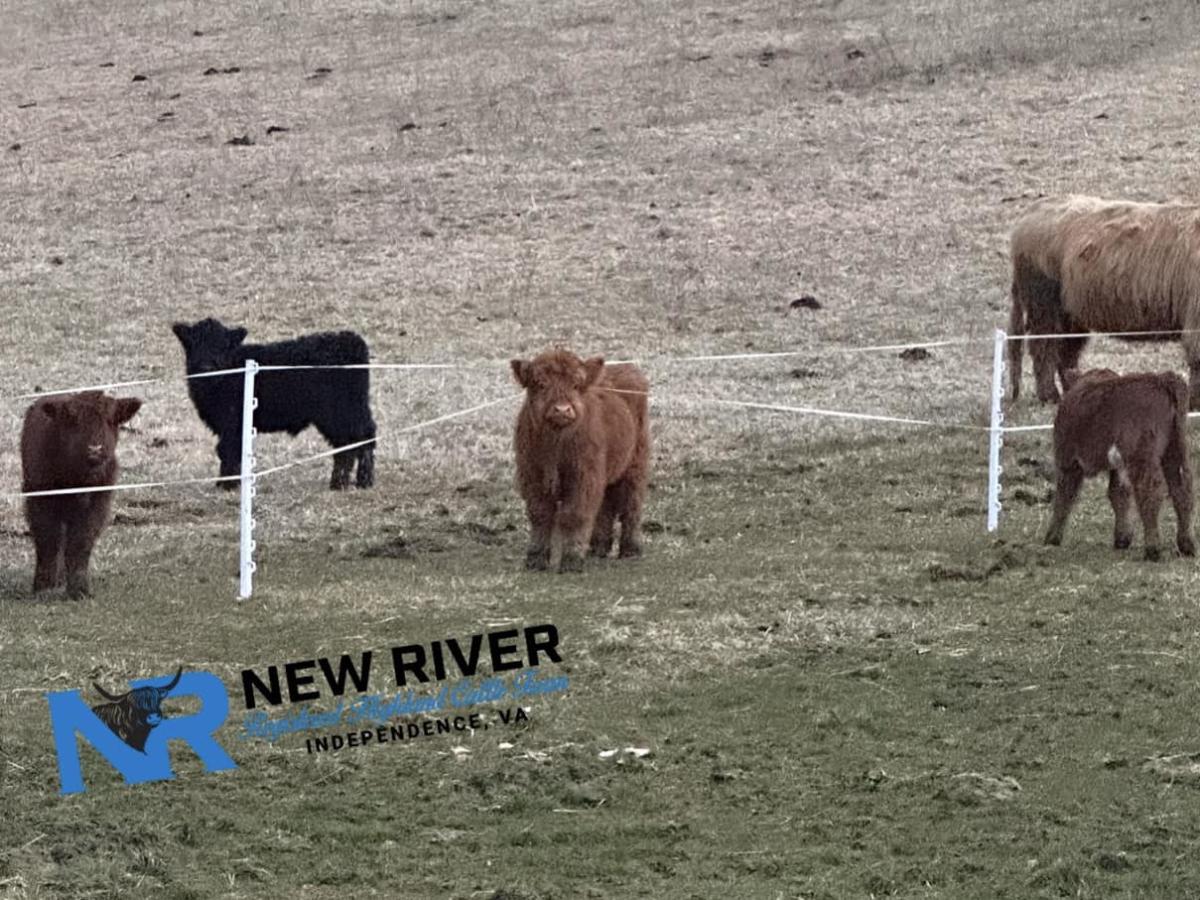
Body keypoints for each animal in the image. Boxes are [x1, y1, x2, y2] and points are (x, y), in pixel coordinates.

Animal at [20, 390, 142, 598]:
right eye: (73, 420)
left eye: (110, 420)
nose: (95, 449)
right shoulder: (39, 500)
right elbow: (48, 540)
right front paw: (43, 586)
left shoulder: (96, 506)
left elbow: (80, 543)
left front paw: (79, 589)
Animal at [172, 318, 377, 490]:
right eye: (194, 343)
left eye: (223, 346)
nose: (206, 367)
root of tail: (350, 339)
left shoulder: (233, 423)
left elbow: (228, 450)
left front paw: (228, 485)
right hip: (350, 410)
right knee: (358, 439)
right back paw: (358, 481)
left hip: (339, 411)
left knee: (352, 443)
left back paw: (344, 482)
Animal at [511, 348, 650, 573]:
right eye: (540, 383)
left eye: (576, 384)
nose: (561, 410)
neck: (556, 443)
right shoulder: (532, 476)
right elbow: (540, 514)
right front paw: (535, 558)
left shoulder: (584, 477)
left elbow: (575, 514)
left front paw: (572, 559)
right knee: (605, 507)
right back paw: (599, 547)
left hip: (635, 465)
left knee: (631, 505)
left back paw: (631, 549)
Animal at [1044, 368, 1195, 561]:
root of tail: (1160, 379)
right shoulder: (1117, 467)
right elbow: (1118, 494)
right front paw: (1122, 538)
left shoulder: (1068, 460)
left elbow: (1064, 497)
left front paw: (1052, 537)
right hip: (1176, 448)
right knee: (1183, 488)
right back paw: (1186, 545)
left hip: (1141, 456)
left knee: (1150, 490)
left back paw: (1152, 549)